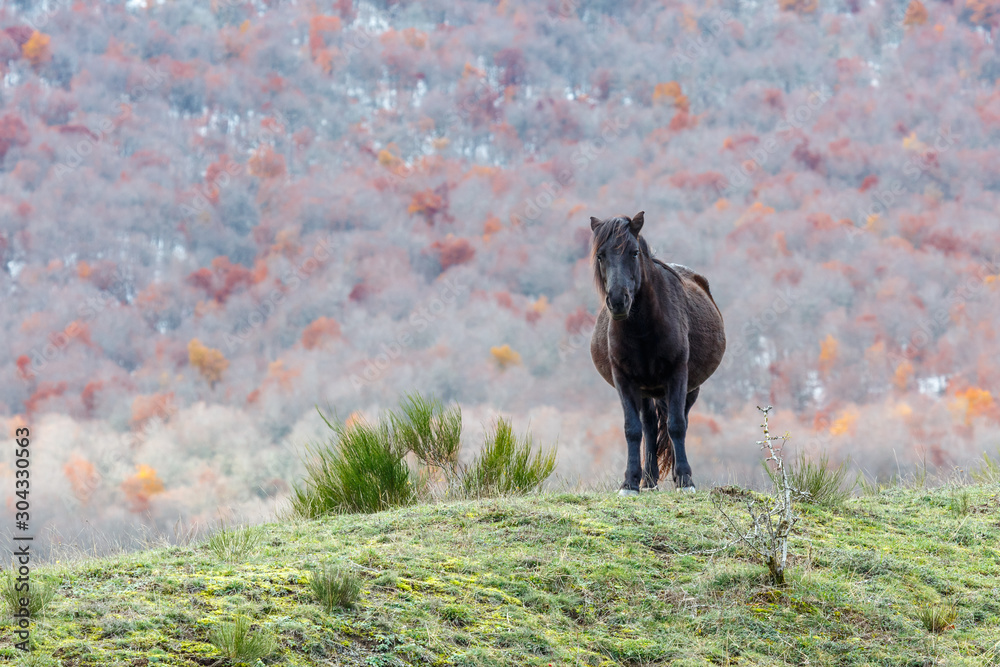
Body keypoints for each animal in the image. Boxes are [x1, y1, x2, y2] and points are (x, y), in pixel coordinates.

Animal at [589, 212, 726, 495]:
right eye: (600, 256)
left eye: (634, 252)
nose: (618, 301)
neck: (644, 331)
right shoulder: (625, 380)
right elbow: (632, 429)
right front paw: (630, 482)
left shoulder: (677, 376)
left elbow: (677, 425)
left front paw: (685, 480)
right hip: (645, 390)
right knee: (650, 427)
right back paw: (648, 479)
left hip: (688, 388)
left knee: (678, 420)